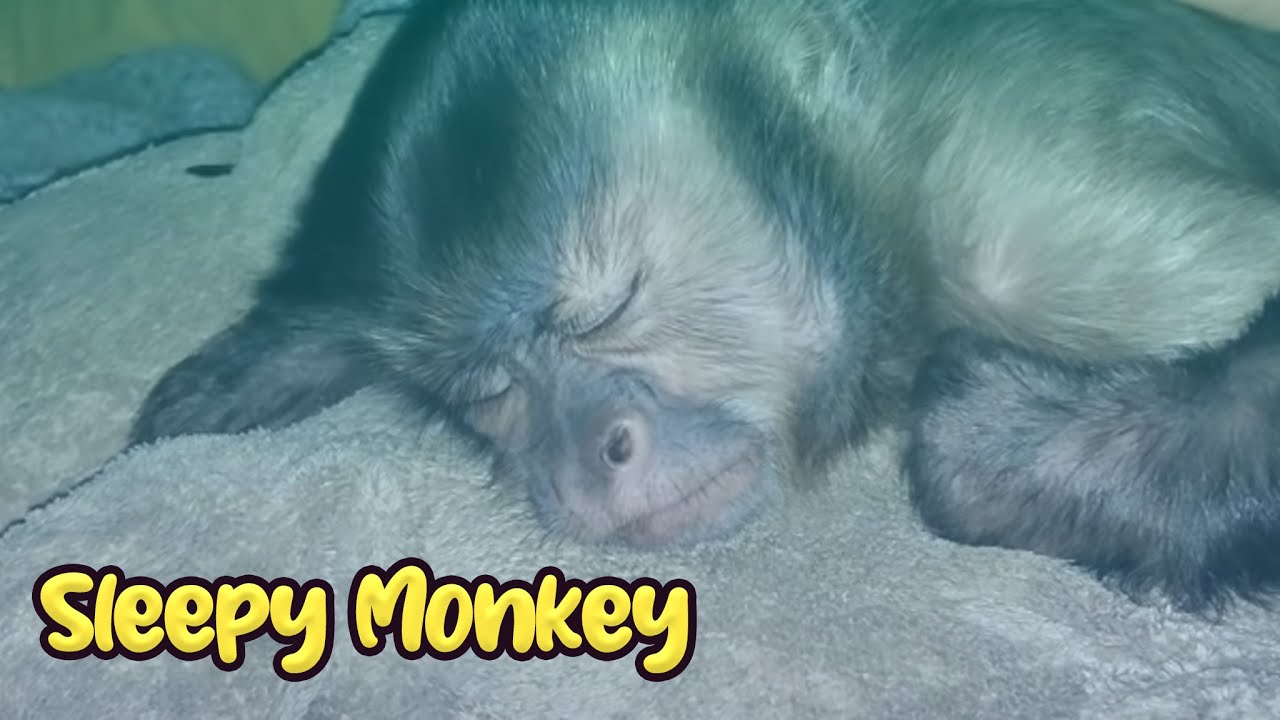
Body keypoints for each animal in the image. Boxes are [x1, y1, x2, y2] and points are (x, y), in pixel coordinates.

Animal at [126, 0, 1280, 613]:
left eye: (606, 308)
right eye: (494, 395)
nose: (585, 455)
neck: (874, 172)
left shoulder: (1032, 220)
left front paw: (1001, 437)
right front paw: (280, 351)